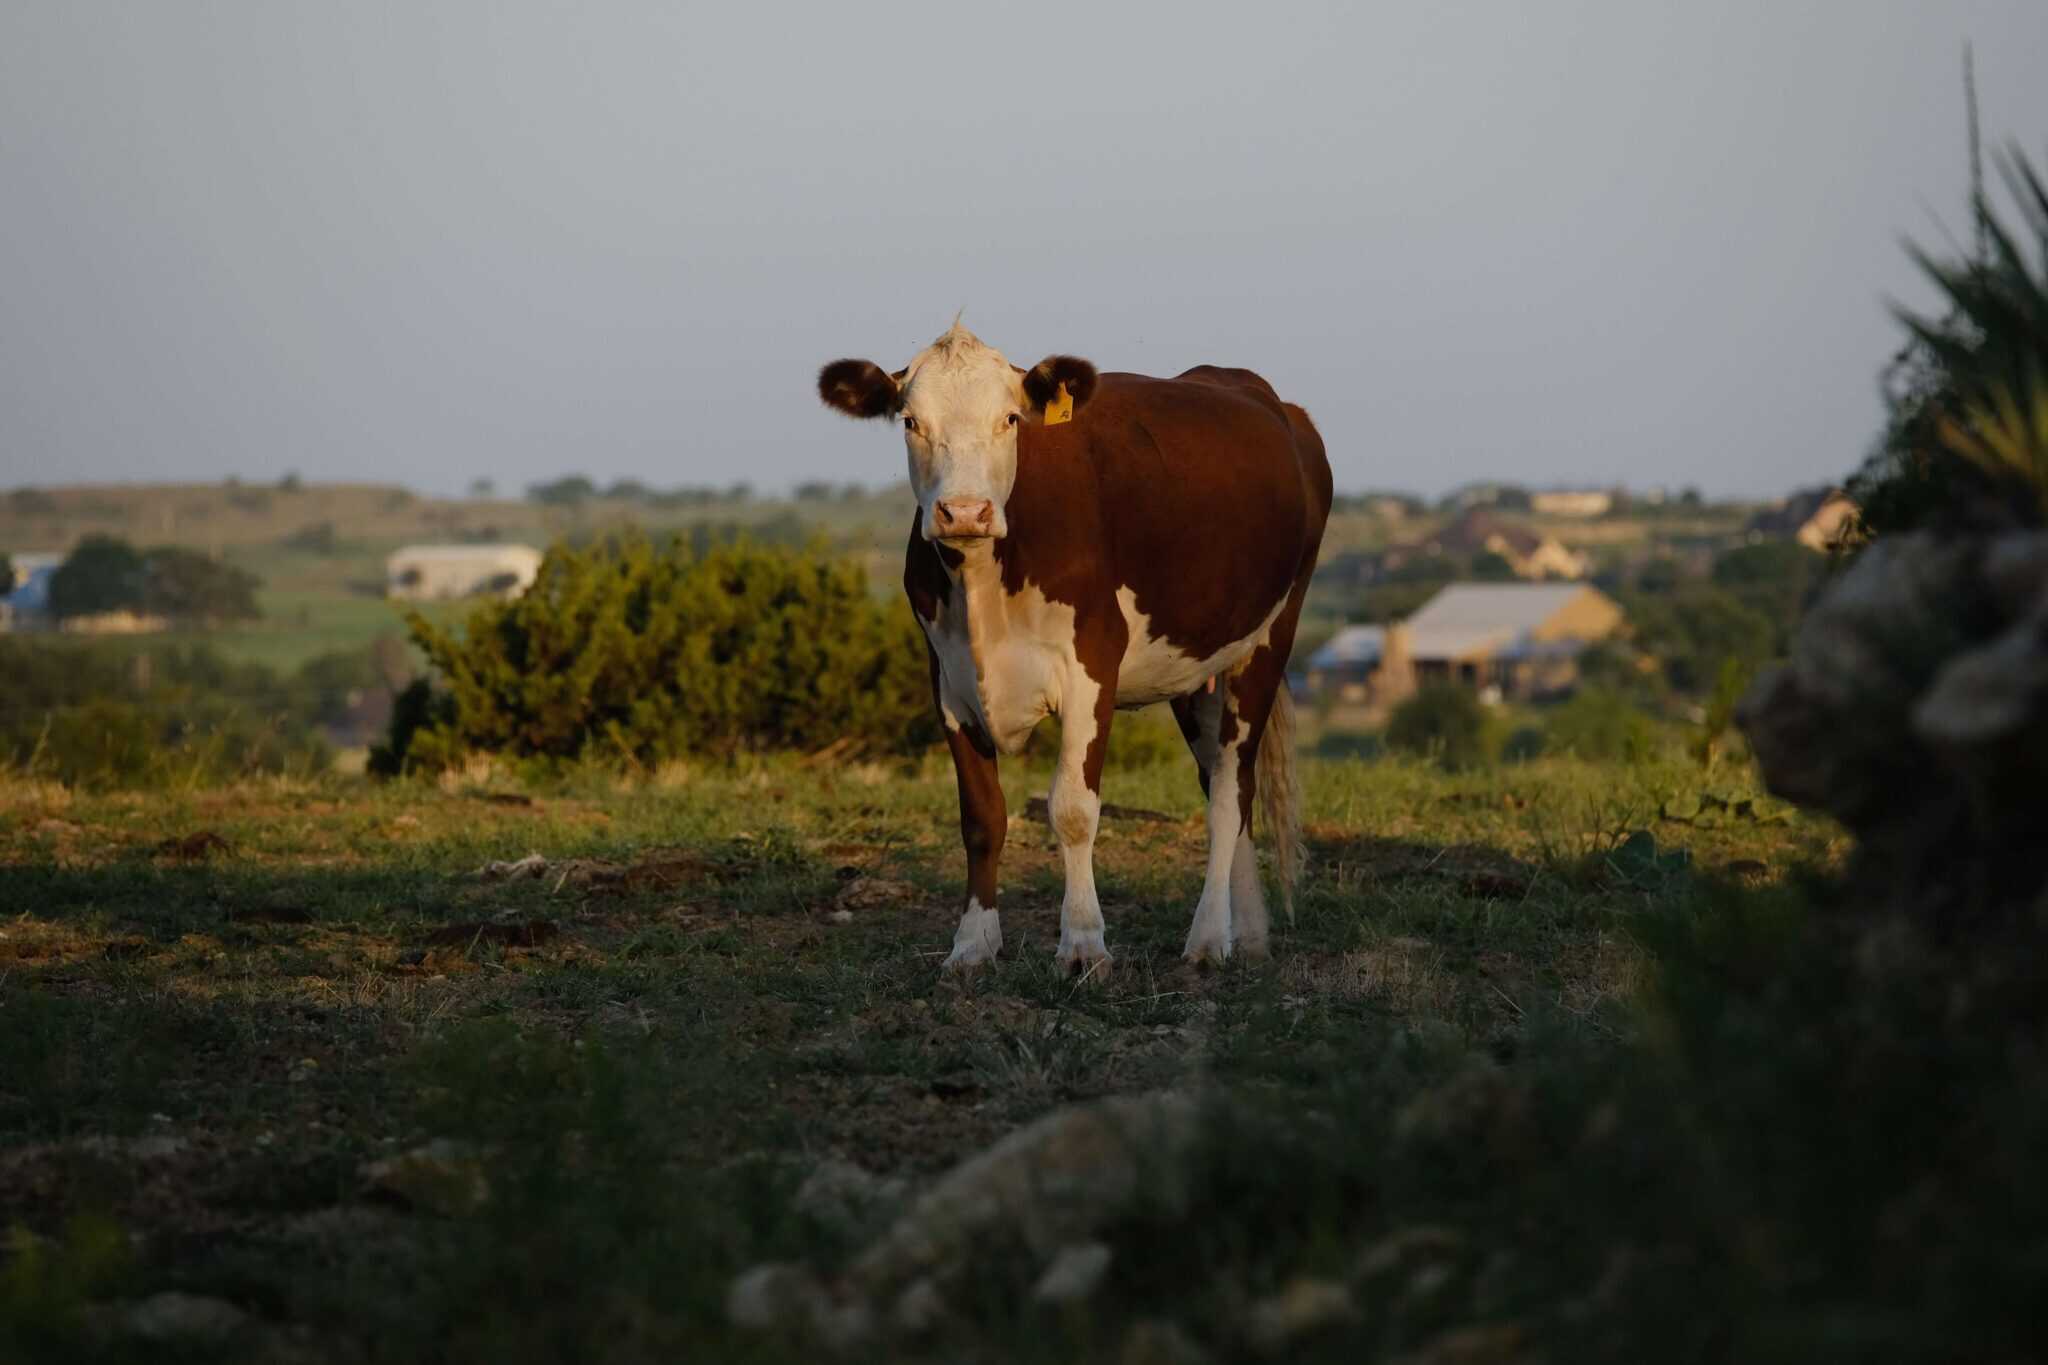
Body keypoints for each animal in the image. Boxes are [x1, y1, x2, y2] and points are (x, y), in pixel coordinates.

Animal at [818, 321, 1331, 975]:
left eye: (1011, 418)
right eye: (910, 421)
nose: (964, 511)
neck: (985, 585)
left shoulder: (1091, 669)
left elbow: (1072, 810)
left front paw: (1084, 945)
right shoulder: (949, 680)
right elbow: (981, 816)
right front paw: (972, 945)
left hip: (1268, 639)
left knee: (1230, 793)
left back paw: (1209, 938)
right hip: (1196, 667)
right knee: (1217, 780)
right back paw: (1251, 934)